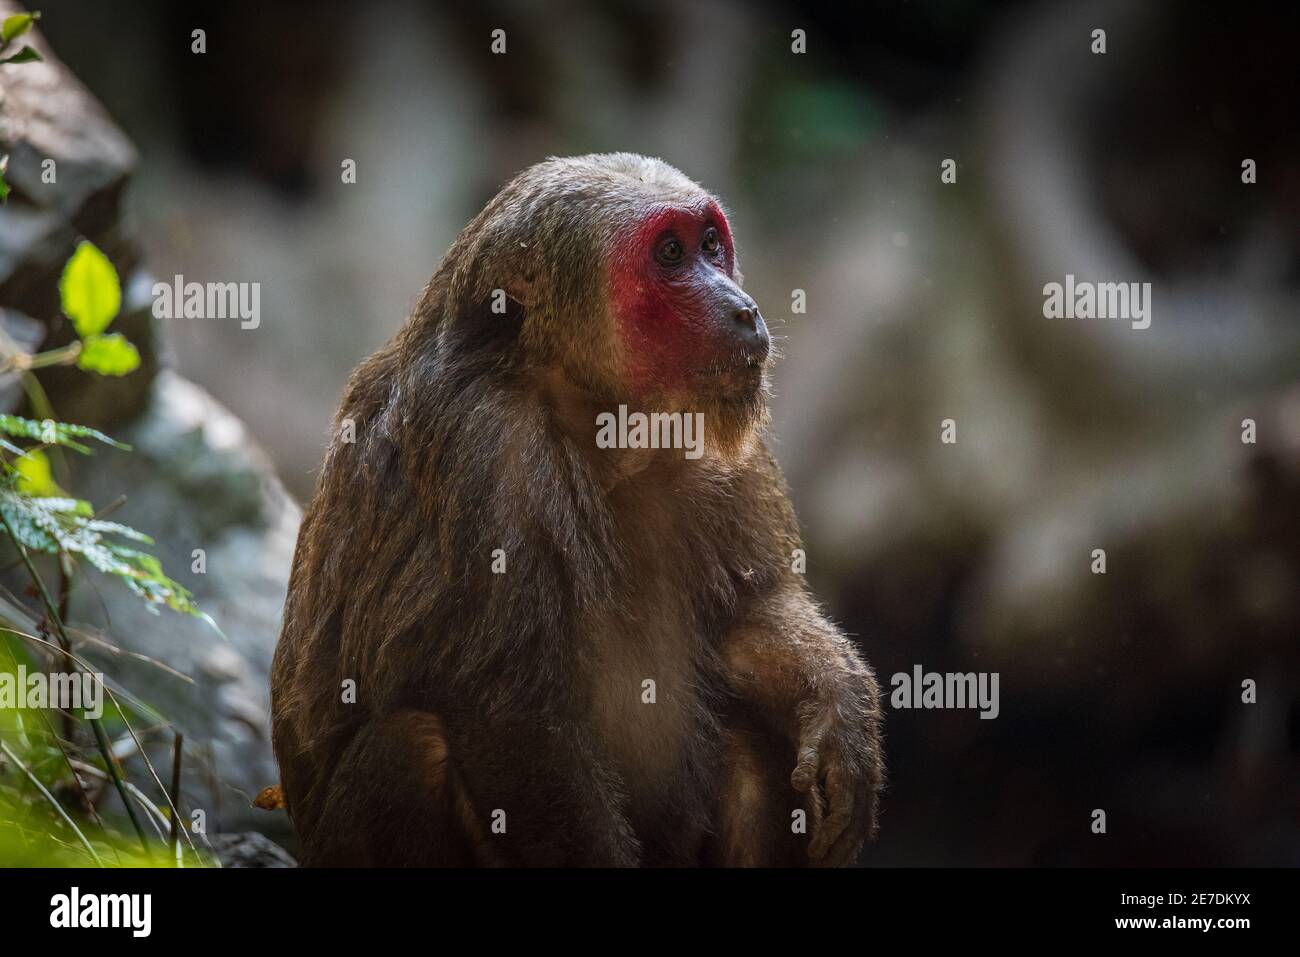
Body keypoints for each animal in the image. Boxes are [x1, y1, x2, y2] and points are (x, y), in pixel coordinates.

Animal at [270, 153, 883, 867]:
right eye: (669, 254)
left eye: (710, 245)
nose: (742, 309)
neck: (603, 428)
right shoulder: (486, 444)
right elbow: (516, 718)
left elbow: (750, 612)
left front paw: (836, 701)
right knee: (408, 748)